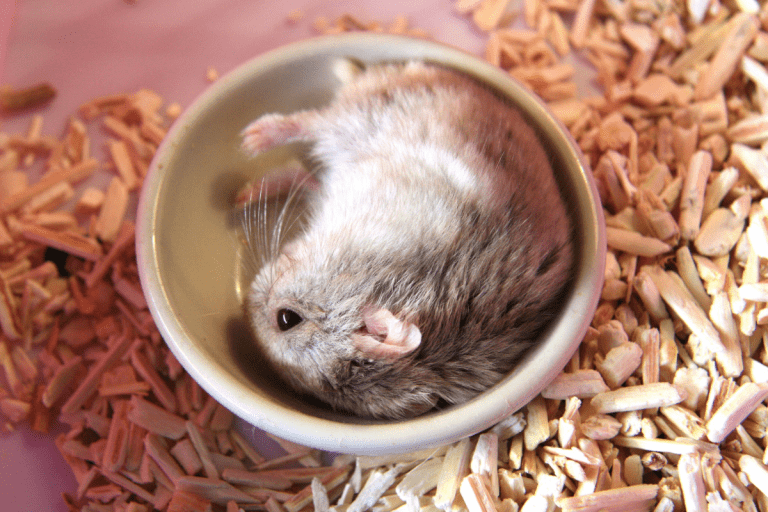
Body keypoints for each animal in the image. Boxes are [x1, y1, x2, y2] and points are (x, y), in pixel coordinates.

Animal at [239, 61, 573, 419]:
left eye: (286, 319)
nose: (245, 304)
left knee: (310, 165)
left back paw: (248, 181)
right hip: (361, 119)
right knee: (313, 123)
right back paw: (251, 146)